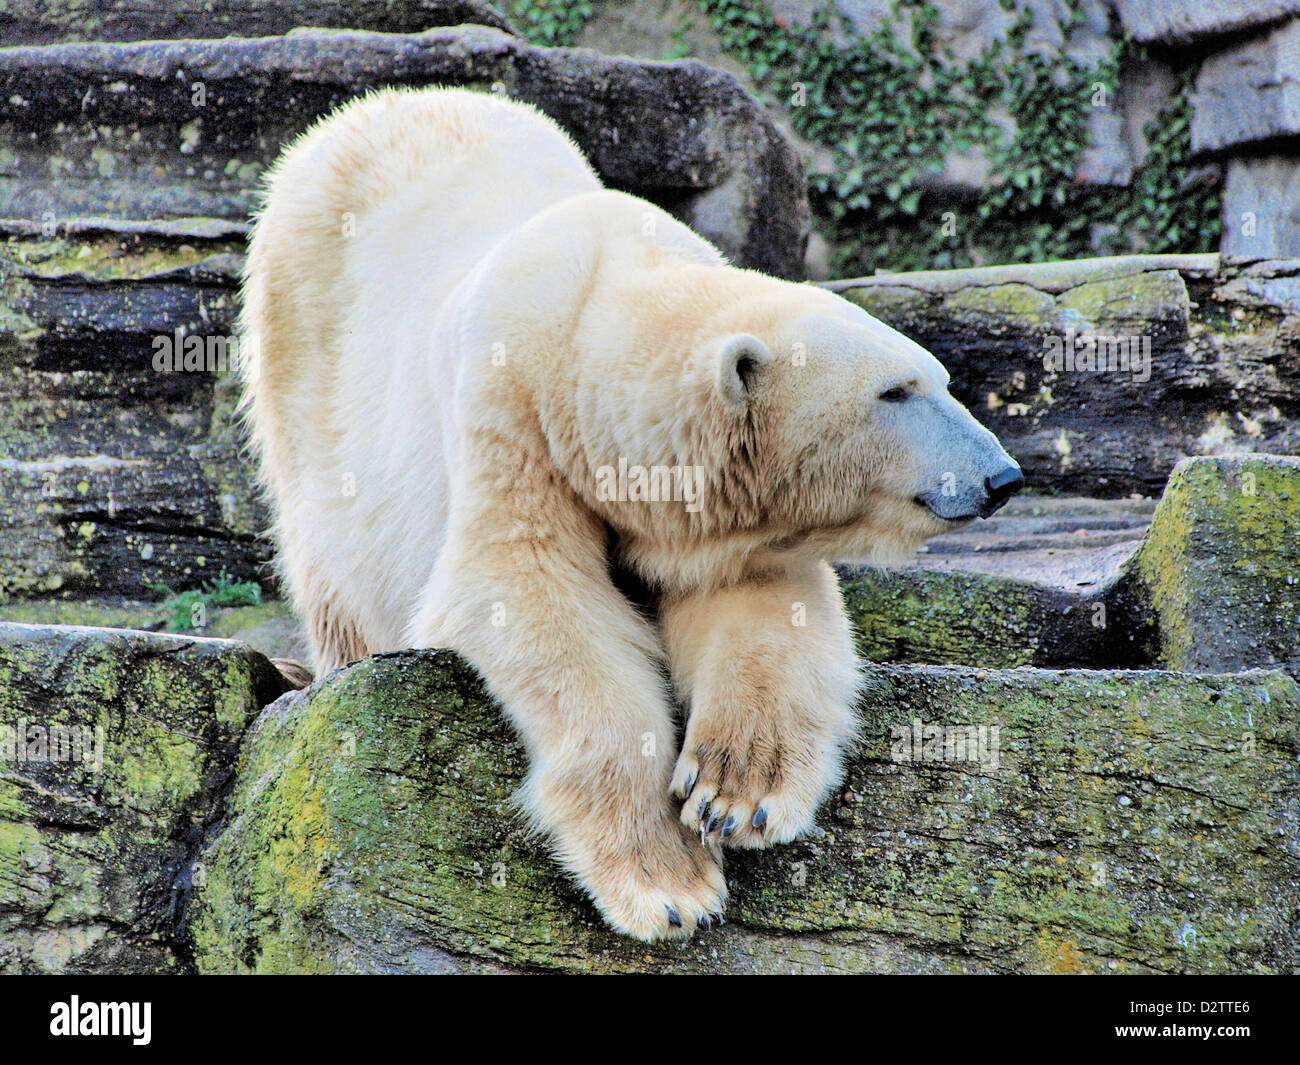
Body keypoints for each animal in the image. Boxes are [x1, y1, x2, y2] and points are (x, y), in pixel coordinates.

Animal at [238, 86, 1023, 941]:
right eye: (896, 391)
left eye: (940, 379)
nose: (1002, 475)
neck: (588, 311)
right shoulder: (510, 417)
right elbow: (532, 593)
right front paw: (668, 883)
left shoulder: (716, 518)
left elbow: (757, 601)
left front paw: (736, 791)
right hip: (307, 354)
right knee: (329, 544)